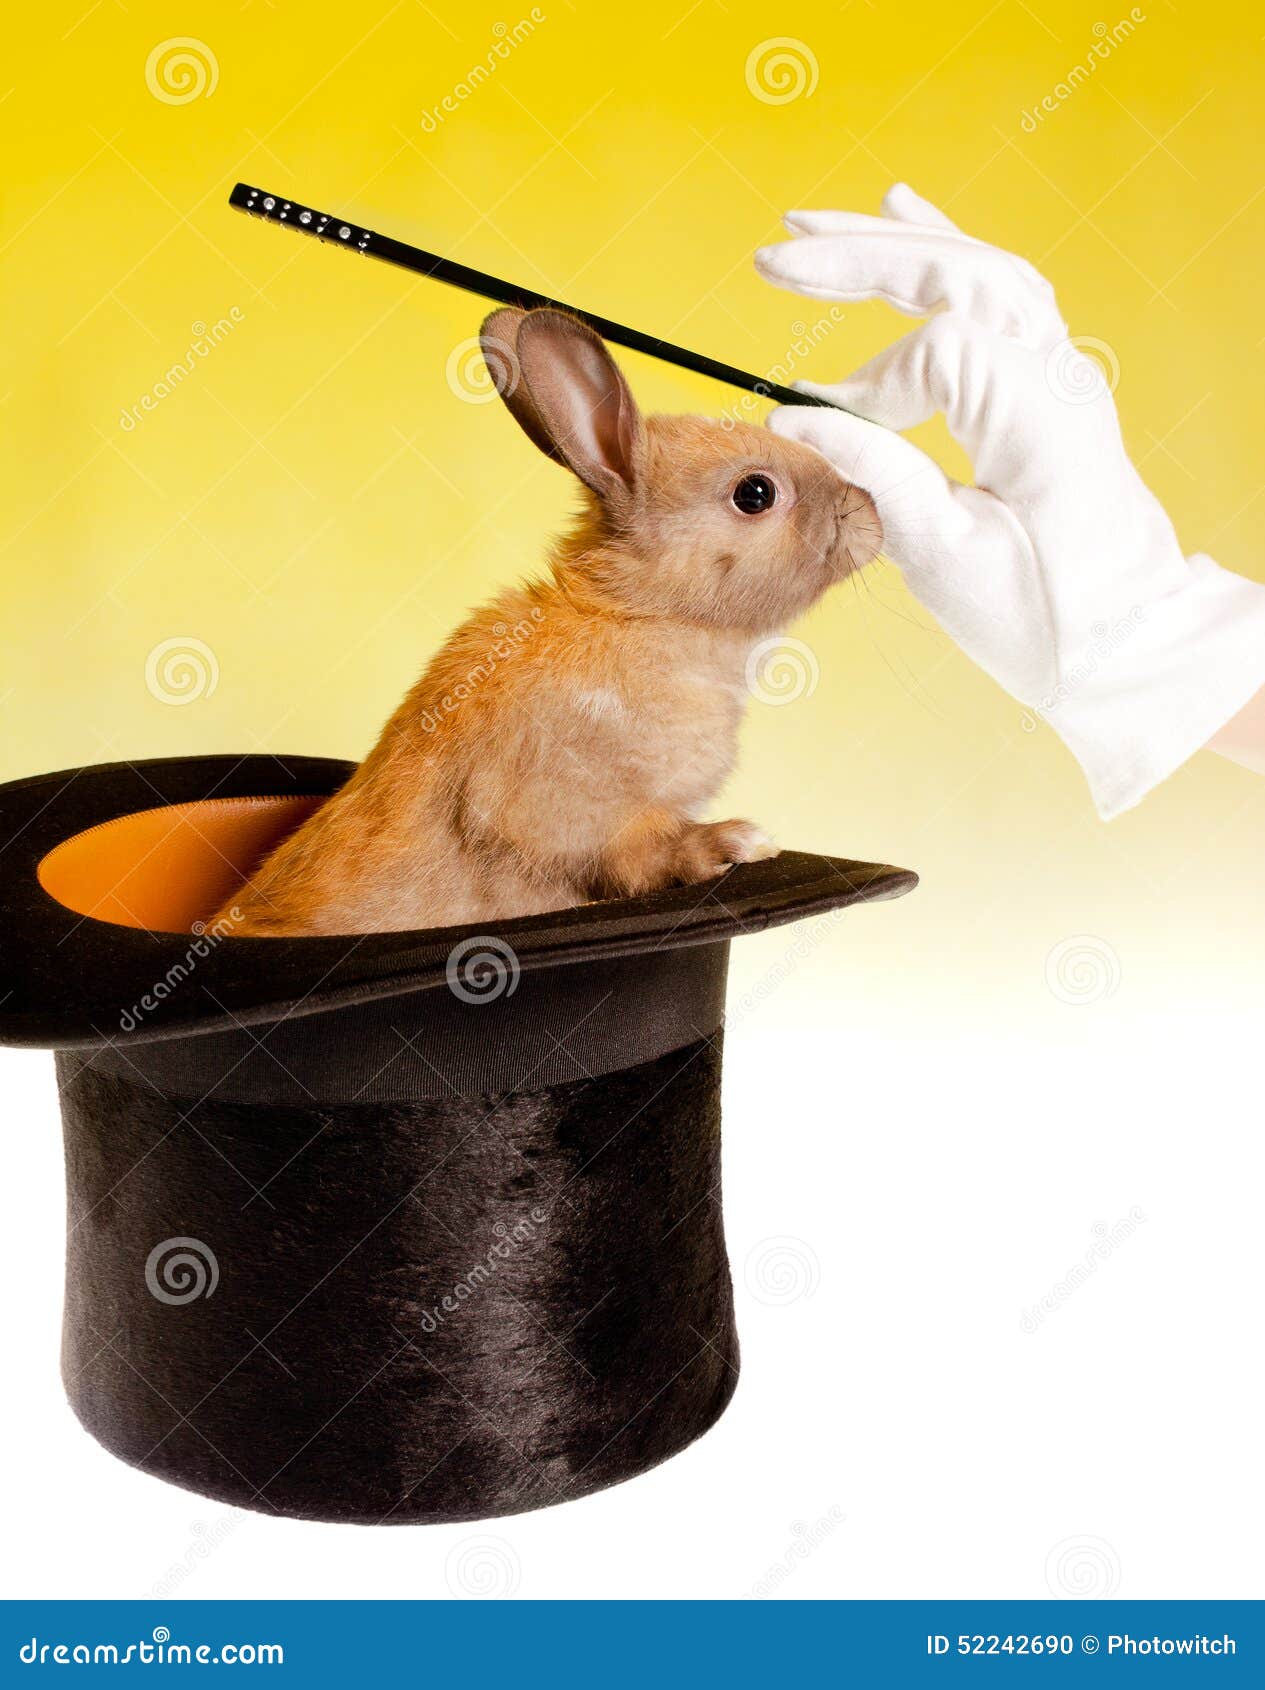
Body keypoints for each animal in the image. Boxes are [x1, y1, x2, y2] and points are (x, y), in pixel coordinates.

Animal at [213, 307, 882, 937]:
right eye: (755, 494)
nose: (871, 510)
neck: (638, 614)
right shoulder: (574, 812)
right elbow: (640, 858)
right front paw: (740, 842)